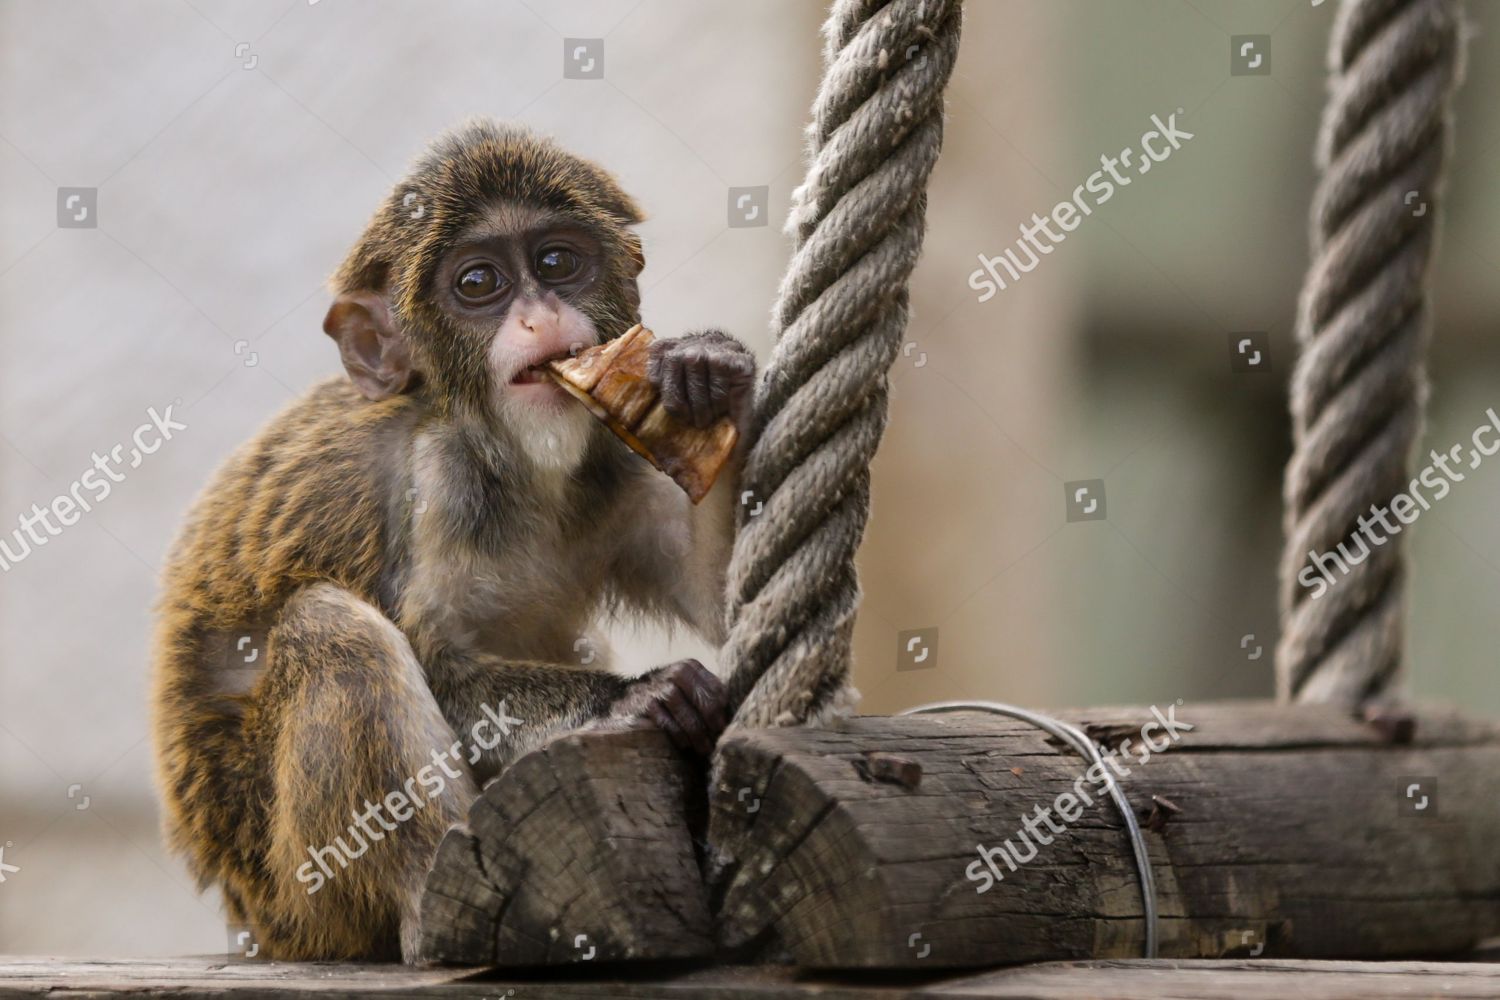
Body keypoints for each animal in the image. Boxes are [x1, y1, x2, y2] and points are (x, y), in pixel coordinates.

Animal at [149, 119, 757, 962]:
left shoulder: (613, 453)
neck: (515, 461)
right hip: (298, 897)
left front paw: (709, 375)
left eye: (557, 263)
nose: (539, 315)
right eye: (478, 283)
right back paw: (424, 914)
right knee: (330, 628)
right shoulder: (435, 480)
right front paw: (646, 693)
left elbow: (714, 597)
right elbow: (441, 667)